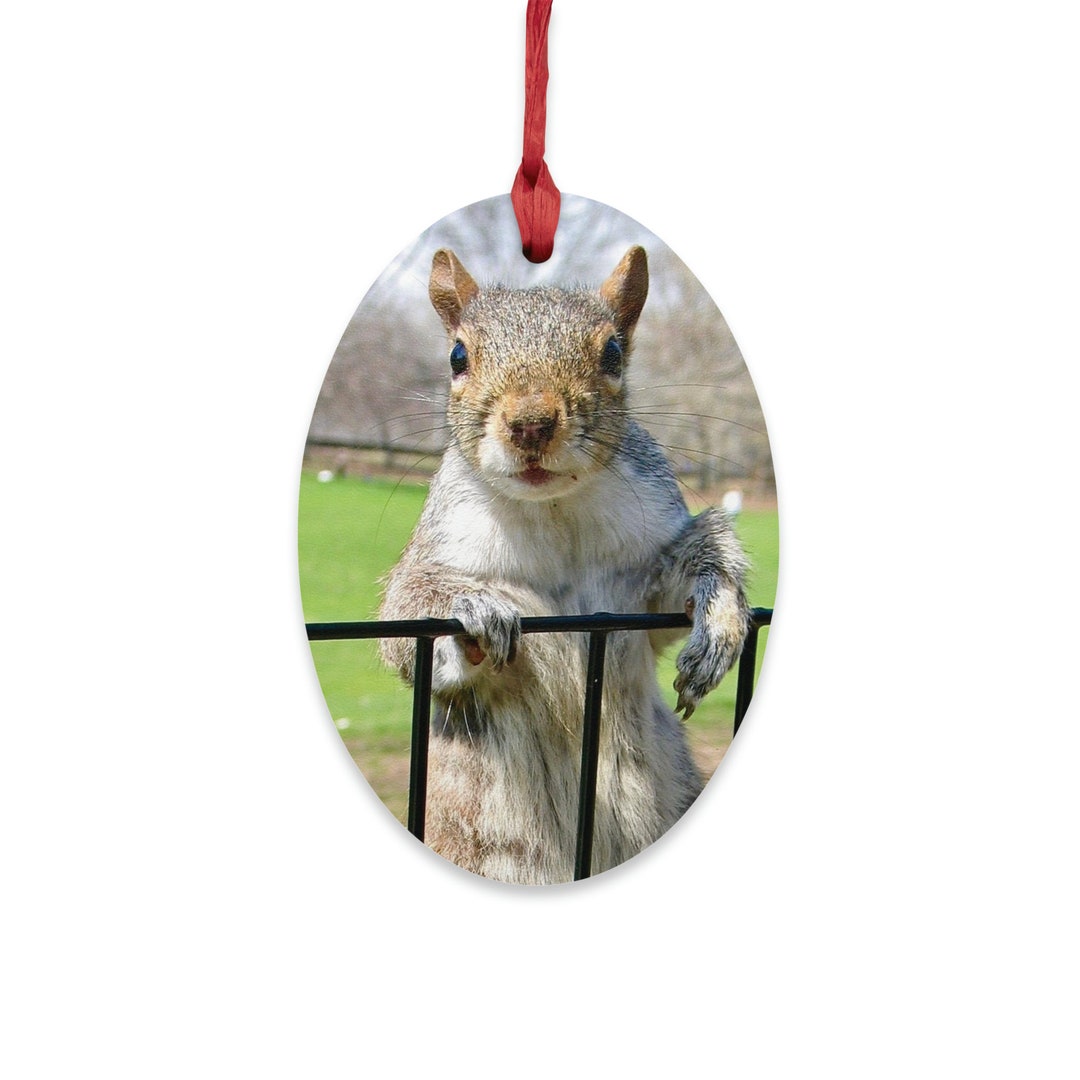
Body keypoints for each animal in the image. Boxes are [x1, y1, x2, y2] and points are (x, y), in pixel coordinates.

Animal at [379, 245, 750, 885]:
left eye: (614, 353)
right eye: (458, 356)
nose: (531, 424)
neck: (554, 513)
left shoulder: (637, 584)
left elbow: (686, 580)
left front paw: (718, 624)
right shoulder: (436, 551)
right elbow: (406, 624)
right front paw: (473, 608)